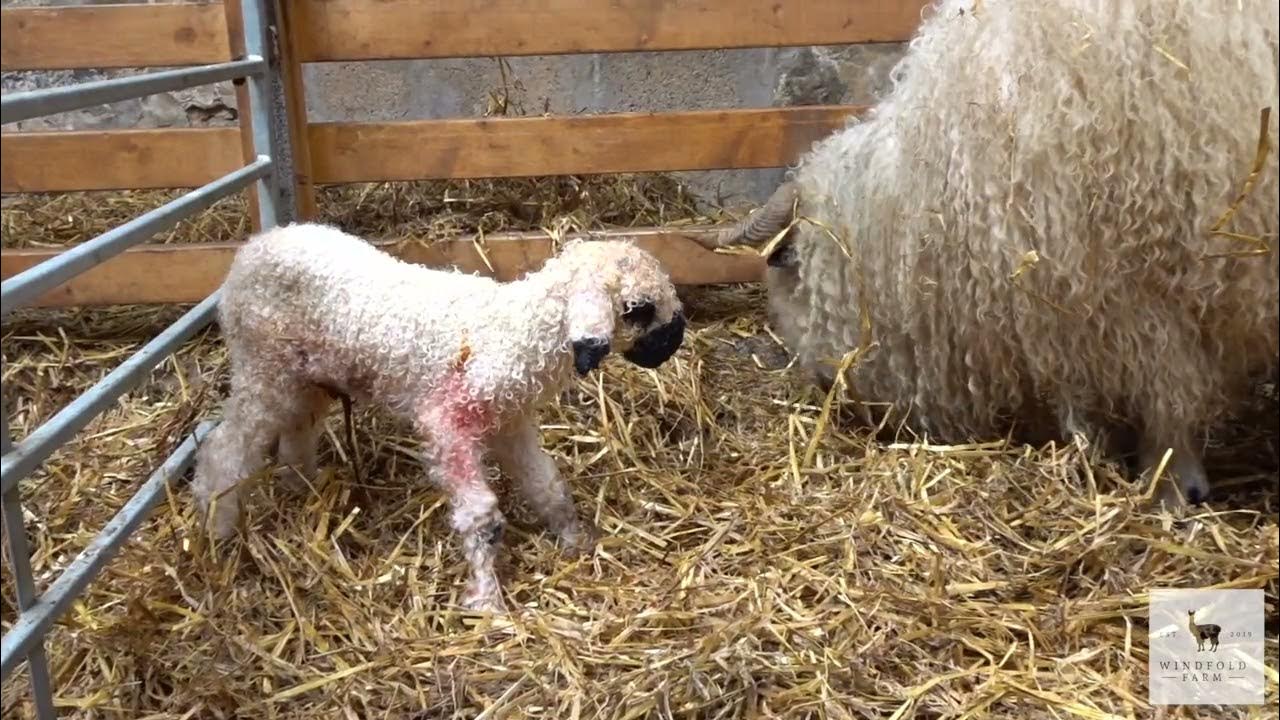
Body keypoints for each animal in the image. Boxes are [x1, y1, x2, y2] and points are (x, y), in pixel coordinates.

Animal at [192, 223, 687, 612]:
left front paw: (574, 538)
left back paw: (302, 488)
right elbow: (481, 516)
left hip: (305, 376)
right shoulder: (446, 427)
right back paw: (217, 524)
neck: (511, 334)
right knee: (225, 449)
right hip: (262, 367)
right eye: (639, 309)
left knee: (297, 432)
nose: (675, 342)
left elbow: (545, 483)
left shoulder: (509, 424)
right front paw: (487, 599)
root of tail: (255, 245)